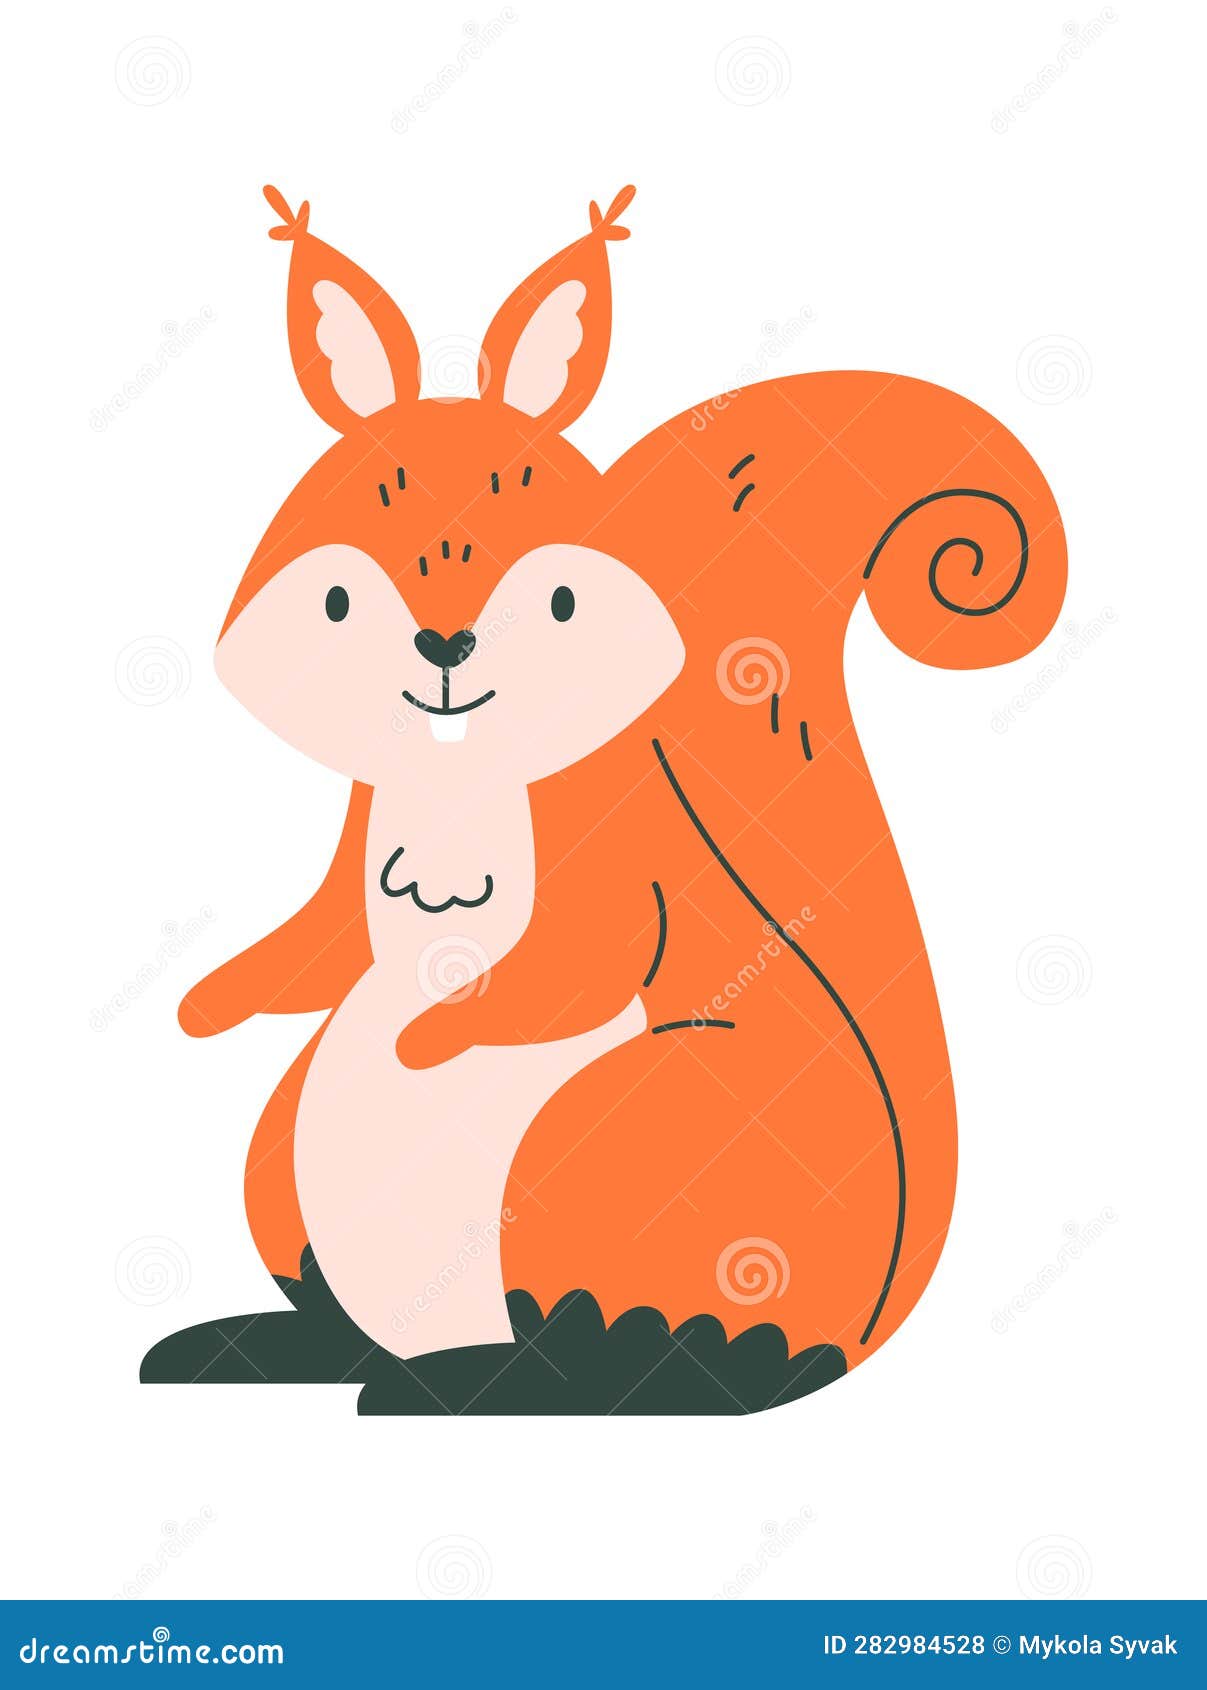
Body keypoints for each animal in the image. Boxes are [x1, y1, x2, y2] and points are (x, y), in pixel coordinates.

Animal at [141, 185, 1066, 1414]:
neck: (457, 779)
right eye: (336, 599)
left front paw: (439, 1028)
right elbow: (326, 932)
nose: (445, 644)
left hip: (605, 1146)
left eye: (564, 603)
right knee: (338, 1312)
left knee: (627, 1348)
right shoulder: (358, 836)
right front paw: (216, 999)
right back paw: (277, 1347)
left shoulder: (611, 855)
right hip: (282, 1171)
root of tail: (859, 1327)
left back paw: (500, 1374)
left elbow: (578, 961)